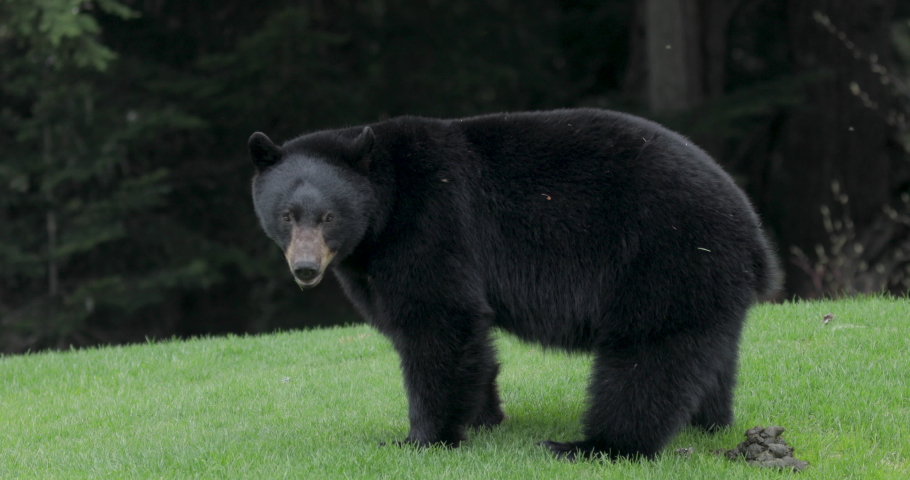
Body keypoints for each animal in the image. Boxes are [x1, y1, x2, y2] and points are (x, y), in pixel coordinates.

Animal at [247, 108, 780, 460]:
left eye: (328, 216)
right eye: (287, 215)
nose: (306, 268)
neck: (386, 201)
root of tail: (755, 235)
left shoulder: (432, 224)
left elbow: (437, 320)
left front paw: (420, 437)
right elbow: (470, 339)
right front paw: (483, 417)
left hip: (664, 255)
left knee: (649, 357)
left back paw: (593, 445)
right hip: (707, 280)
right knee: (708, 354)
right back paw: (709, 422)